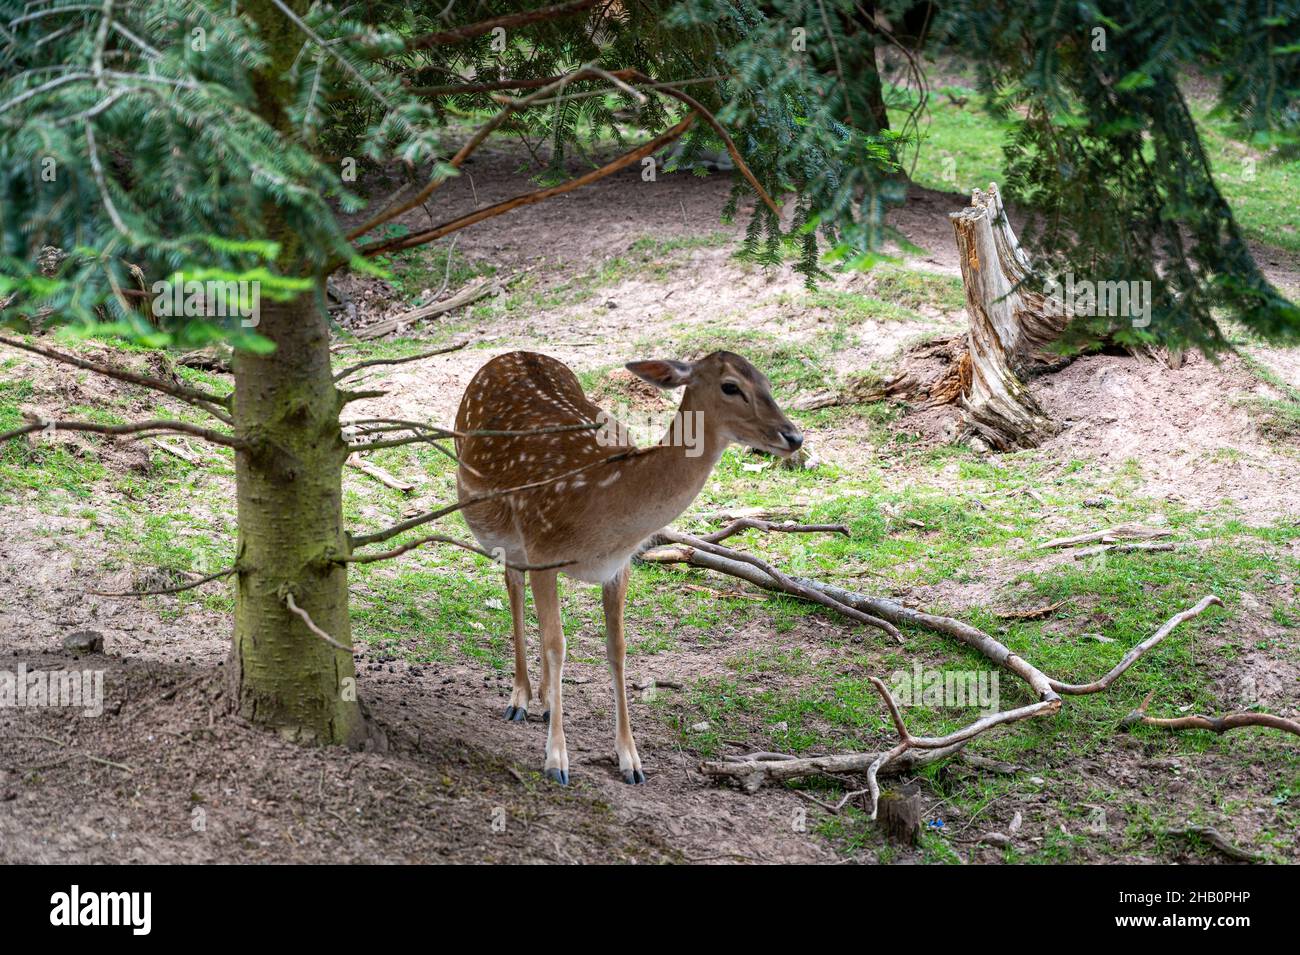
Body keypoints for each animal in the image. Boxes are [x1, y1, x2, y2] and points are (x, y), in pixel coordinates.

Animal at [454, 350, 802, 785]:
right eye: (730, 386)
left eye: (767, 381)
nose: (794, 437)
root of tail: (512, 354)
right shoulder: (541, 544)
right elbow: (557, 644)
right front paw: (556, 761)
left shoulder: (620, 566)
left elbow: (616, 647)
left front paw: (631, 760)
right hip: (498, 527)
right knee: (512, 584)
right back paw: (520, 697)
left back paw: (547, 700)